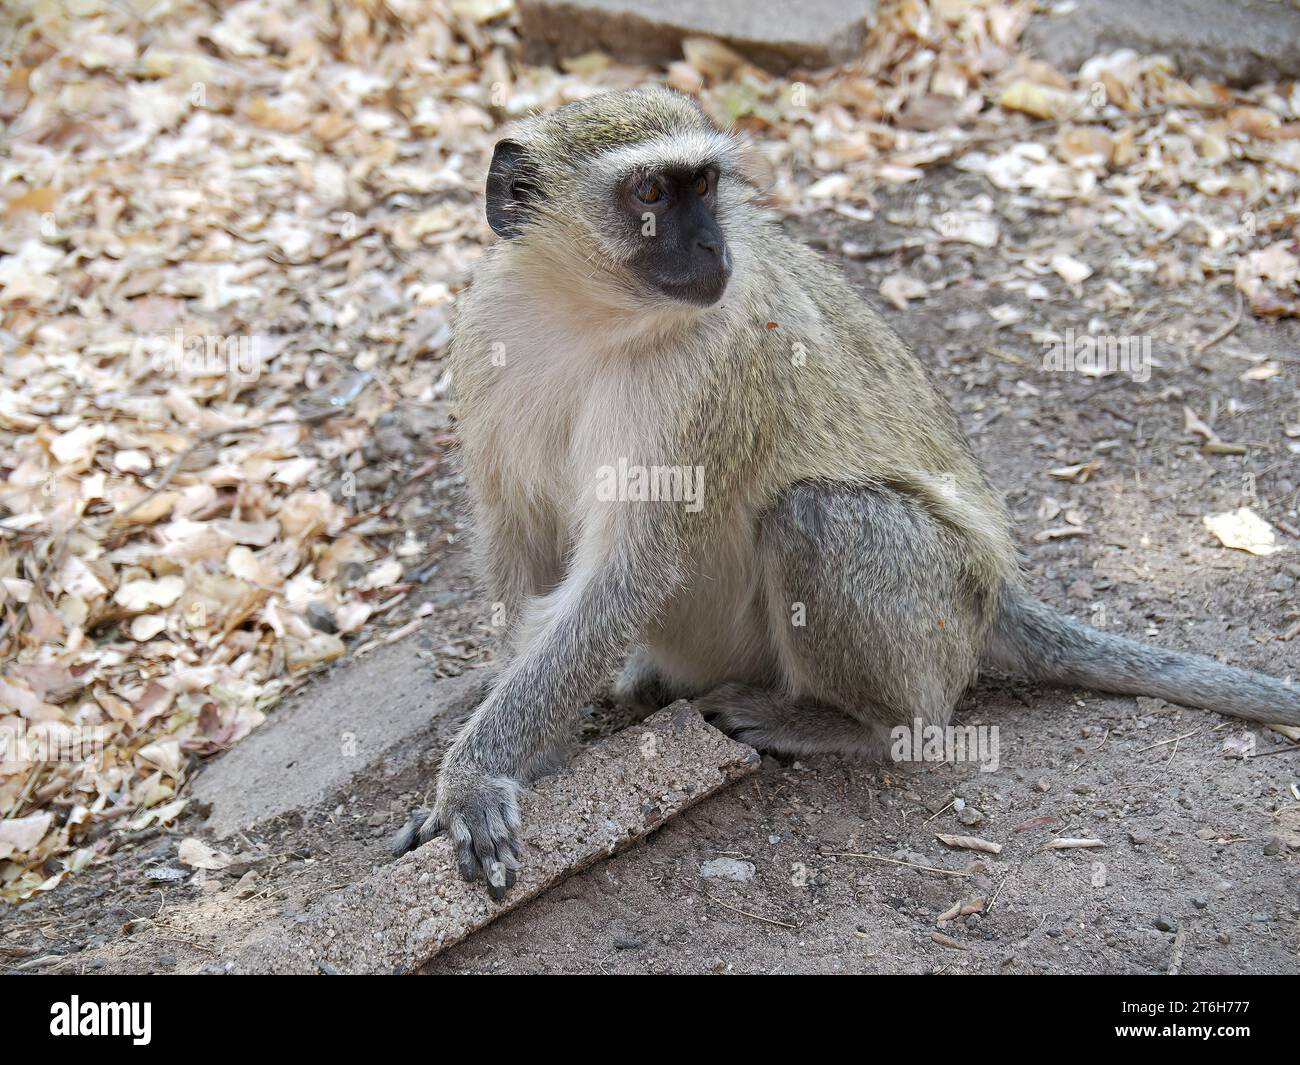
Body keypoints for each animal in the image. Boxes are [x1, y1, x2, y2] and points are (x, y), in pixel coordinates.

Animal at [392, 87, 1300, 899]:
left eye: (705, 186)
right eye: (651, 194)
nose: (713, 250)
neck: (590, 316)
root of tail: (998, 593)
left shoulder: (711, 374)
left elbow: (629, 570)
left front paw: (473, 774)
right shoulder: (491, 332)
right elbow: (527, 545)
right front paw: (521, 761)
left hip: (939, 608)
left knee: (820, 518)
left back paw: (861, 724)